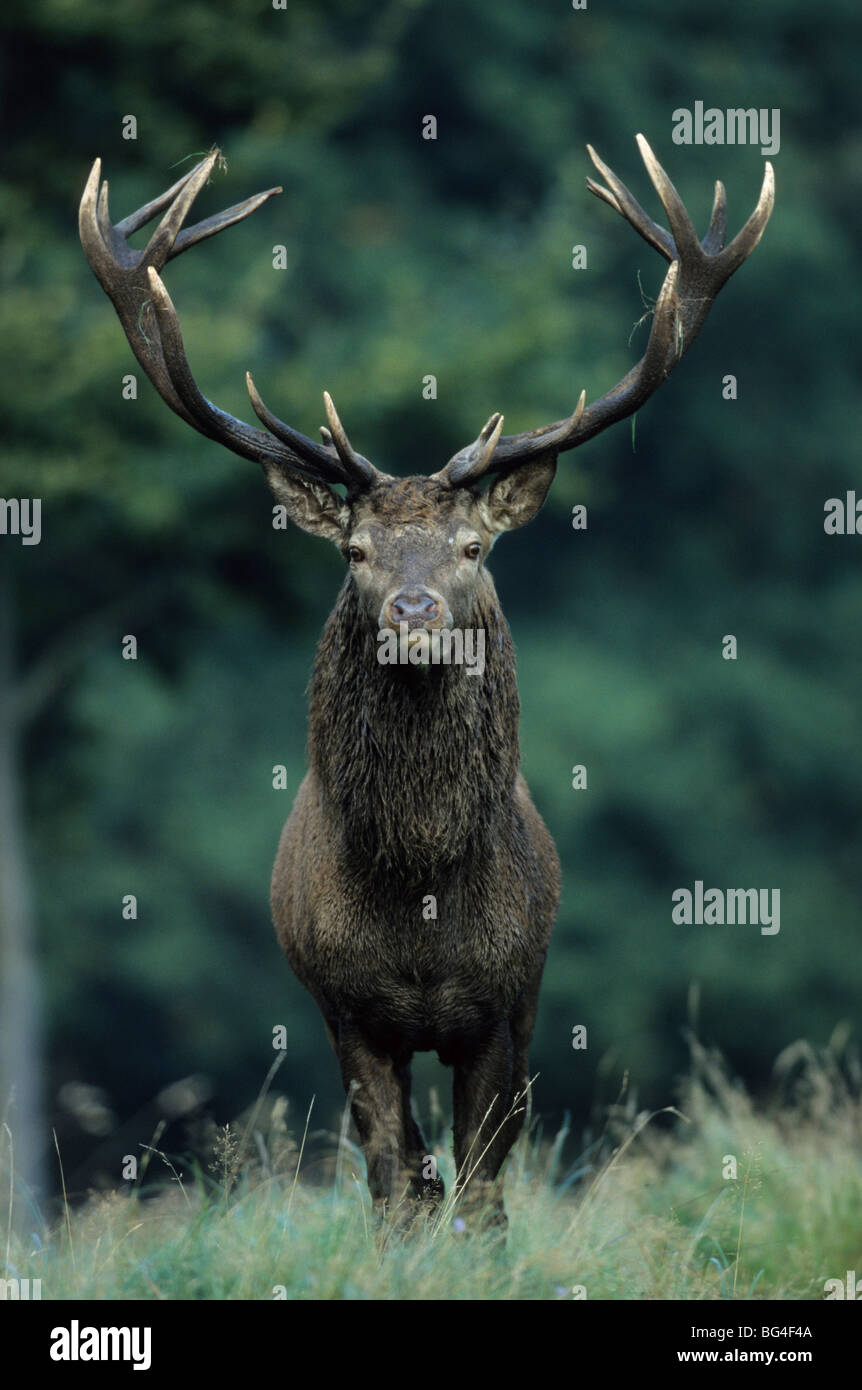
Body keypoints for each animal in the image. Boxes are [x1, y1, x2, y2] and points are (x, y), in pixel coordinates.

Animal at [79, 136, 773, 1229]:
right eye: (356, 552)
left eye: (472, 546)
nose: (414, 615)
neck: (422, 908)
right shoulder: (349, 1012)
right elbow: (391, 1181)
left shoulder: (507, 1003)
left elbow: (485, 1184)